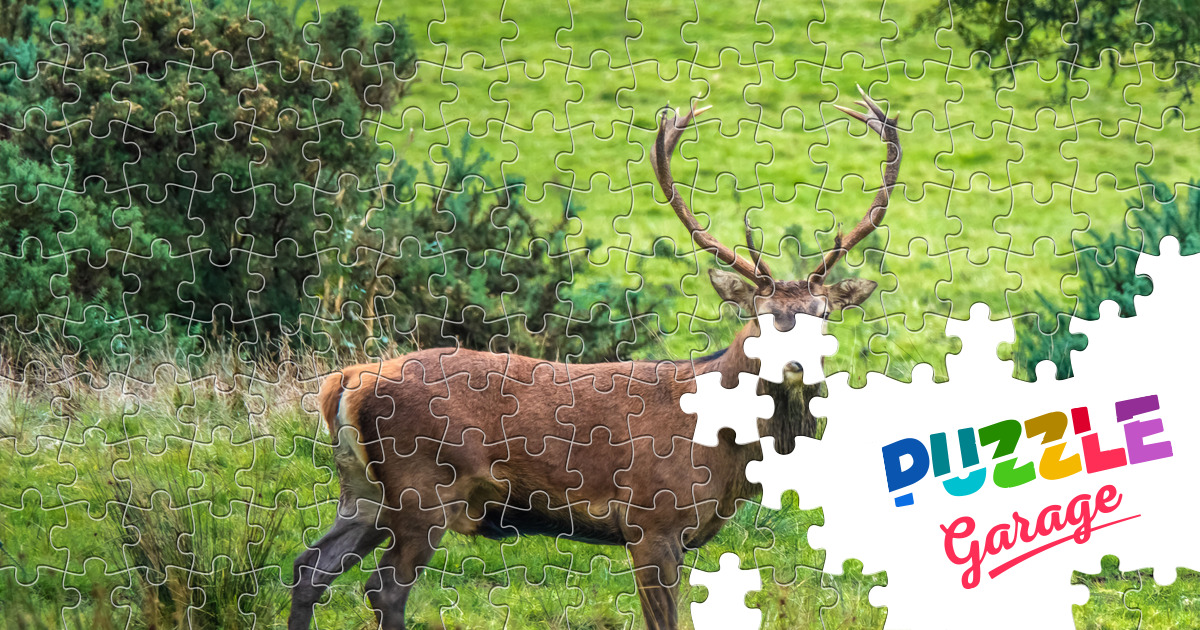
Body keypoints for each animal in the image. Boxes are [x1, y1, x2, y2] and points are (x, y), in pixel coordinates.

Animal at [288, 88, 901, 630]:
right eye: (764, 315)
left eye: (823, 313)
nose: (798, 366)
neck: (724, 447)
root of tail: (346, 381)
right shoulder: (653, 520)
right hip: (422, 485)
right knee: (383, 589)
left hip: (364, 491)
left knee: (308, 568)